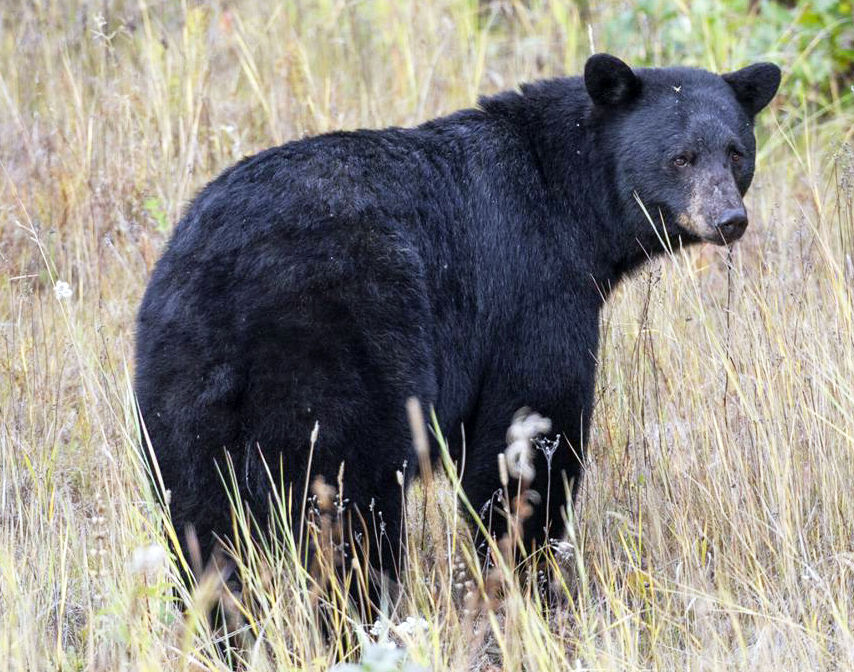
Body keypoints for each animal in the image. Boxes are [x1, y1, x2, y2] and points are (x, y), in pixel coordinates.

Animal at [135, 54, 780, 587]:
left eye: (736, 152)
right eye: (681, 157)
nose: (729, 219)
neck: (567, 197)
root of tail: (225, 282)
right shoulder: (531, 288)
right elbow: (529, 437)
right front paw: (529, 577)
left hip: (180, 388)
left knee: (201, 528)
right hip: (335, 354)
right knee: (348, 505)